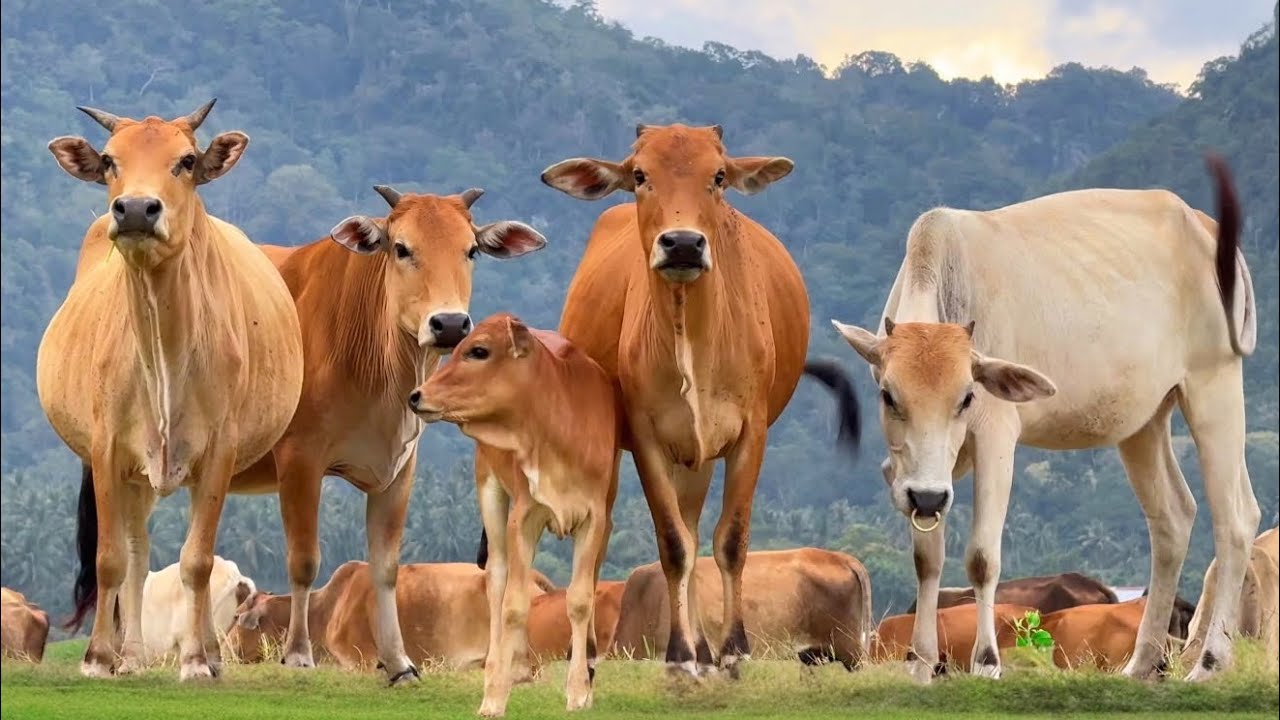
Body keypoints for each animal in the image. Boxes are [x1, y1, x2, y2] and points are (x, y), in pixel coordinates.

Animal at [39, 100, 305, 680]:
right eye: (110, 161)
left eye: (185, 161)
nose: (137, 209)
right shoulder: (107, 450)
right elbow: (111, 560)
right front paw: (98, 658)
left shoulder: (220, 453)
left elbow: (197, 560)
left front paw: (195, 662)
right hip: (133, 475)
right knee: (137, 555)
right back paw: (133, 656)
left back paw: (204, 651)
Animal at [411, 312, 621, 716]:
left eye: (479, 350)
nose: (416, 395)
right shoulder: (523, 518)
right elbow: (513, 605)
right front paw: (495, 697)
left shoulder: (595, 518)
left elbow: (580, 600)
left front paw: (578, 691)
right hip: (489, 490)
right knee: (496, 581)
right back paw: (498, 673)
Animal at [513, 122, 816, 681]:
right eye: (639, 175)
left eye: (718, 176)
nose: (682, 243)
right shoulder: (647, 437)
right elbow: (672, 545)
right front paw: (679, 653)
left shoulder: (751, 433)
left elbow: (729, 540)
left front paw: (731, 649)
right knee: (615, 532)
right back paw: (595, 654)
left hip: (696, 458)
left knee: (697, 531)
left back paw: (706, 650)